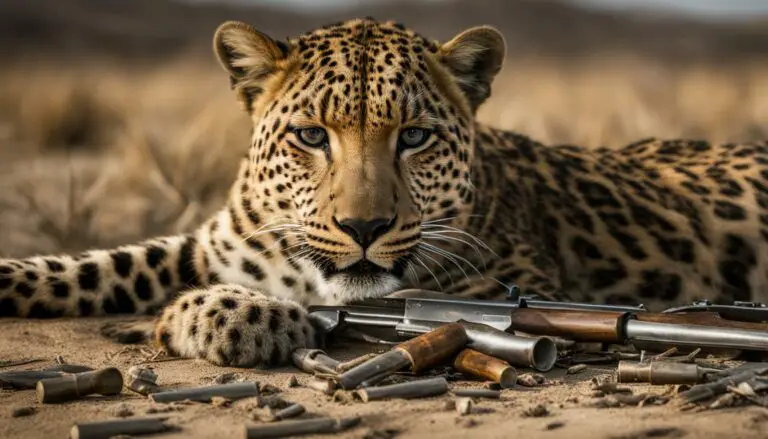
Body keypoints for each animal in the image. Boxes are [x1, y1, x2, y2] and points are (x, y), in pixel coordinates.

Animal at [2, 18, 767, 368]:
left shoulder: (511, 281)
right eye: (311, 136)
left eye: (415, 137)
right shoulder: (213, 241)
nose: (364, 227)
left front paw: (222, 316)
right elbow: (98, 264)